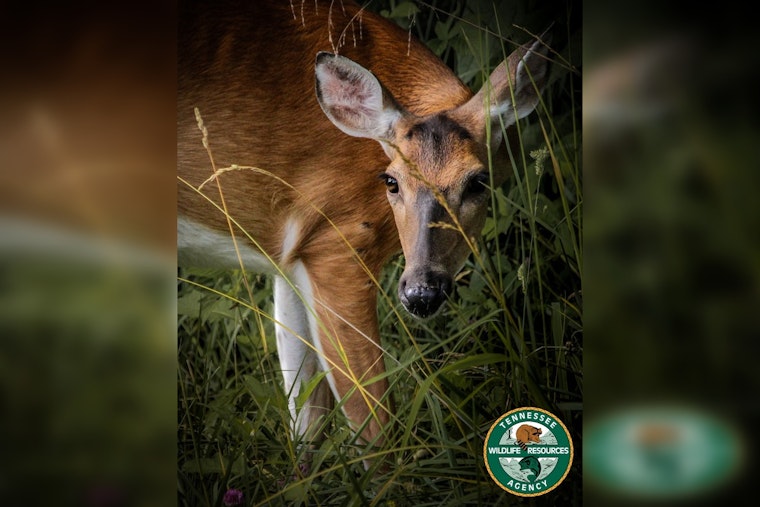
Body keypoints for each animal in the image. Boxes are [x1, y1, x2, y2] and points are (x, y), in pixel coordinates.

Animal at [178, 0, 549, 470]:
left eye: (478, 181)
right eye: (391, 181)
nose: (421, 292)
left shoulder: (288, 255)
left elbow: (305, 412)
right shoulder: (335, 244)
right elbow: (371, 423)